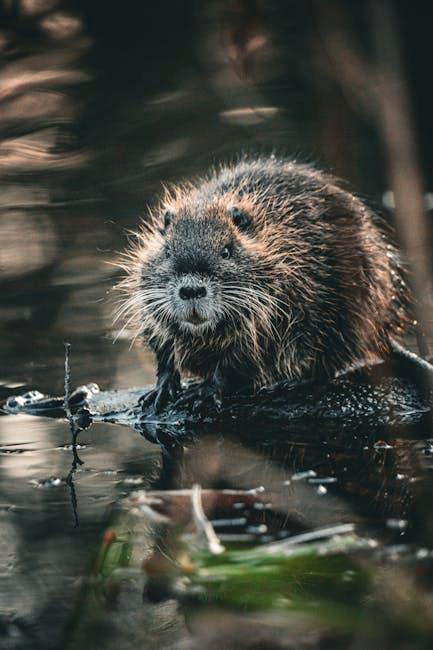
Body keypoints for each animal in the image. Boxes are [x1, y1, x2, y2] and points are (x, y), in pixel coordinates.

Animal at [115, 156, 408, 410]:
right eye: (167, 252)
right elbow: (163, 350)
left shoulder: (279, 310)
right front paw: (161, 390)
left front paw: (205, 392)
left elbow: (239, 361)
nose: (191, 290)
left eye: (226, 251)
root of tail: (383, 329)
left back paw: (285, 383)